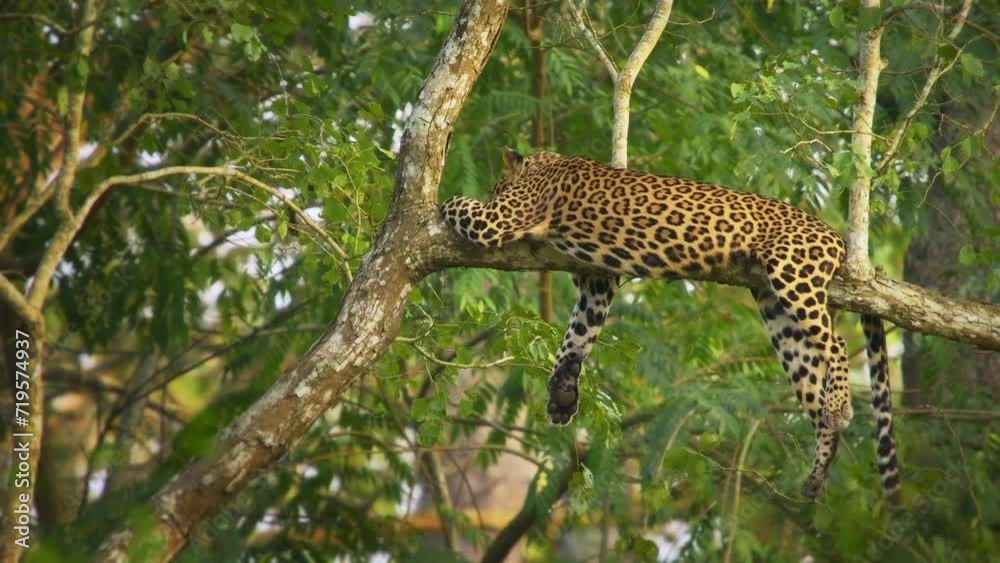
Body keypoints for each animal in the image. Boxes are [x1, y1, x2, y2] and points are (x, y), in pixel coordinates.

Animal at [440, 147, 901, 503]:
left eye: (497, 189)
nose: (492, 191)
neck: (547, 164)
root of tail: (832, 232)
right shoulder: (597, 281)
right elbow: (577, 335)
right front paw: (562, 395)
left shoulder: (501, 219)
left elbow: (463, 209)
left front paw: (442, 206)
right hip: (778, 314)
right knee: (813, 382)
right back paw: (818, 472)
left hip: (793, 275)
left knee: (837, 343)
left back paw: (839, 408)